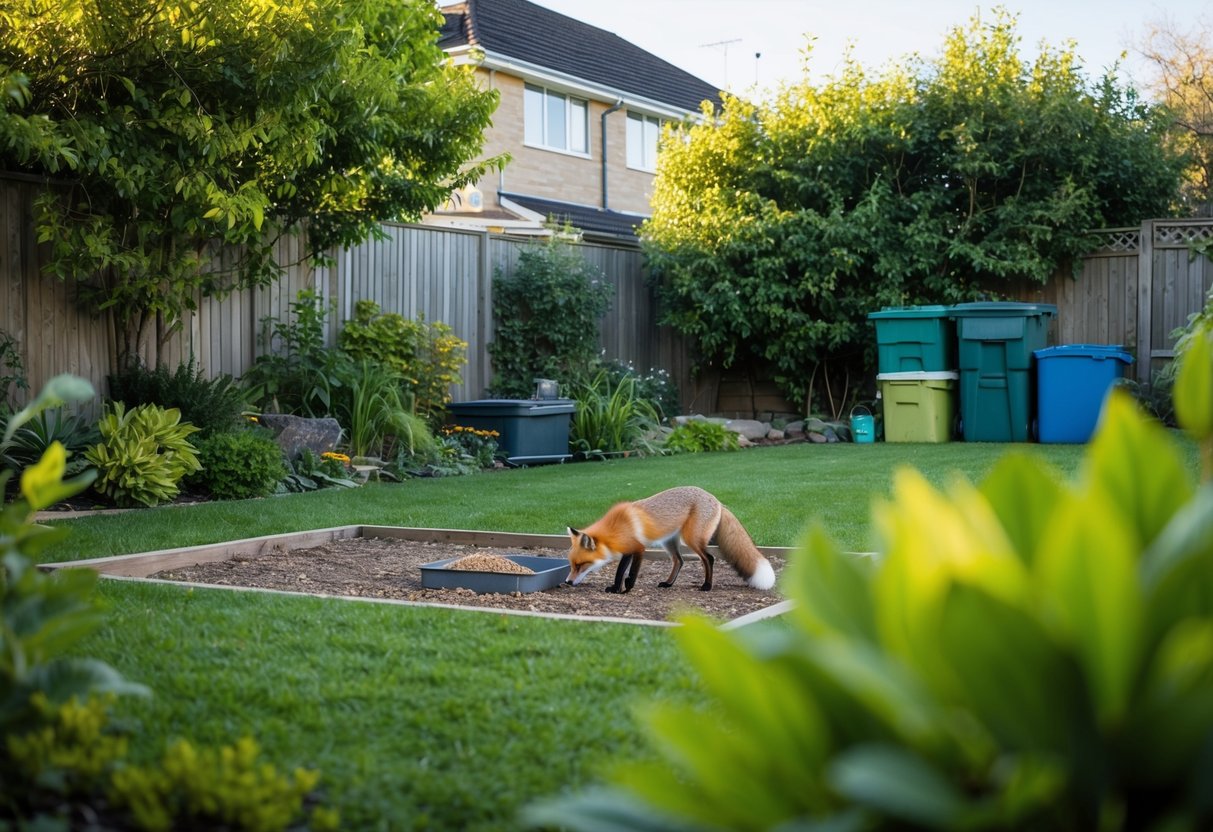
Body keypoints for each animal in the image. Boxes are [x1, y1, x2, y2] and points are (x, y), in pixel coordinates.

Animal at [565, 486, 776, 594]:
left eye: (580, 565)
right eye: (572, 565)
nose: (567, 582)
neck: (616, 528)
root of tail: (717, 500)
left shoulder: (638, 548)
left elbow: (628, 572)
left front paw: (626, 588)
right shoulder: (627, 550)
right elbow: (620, 571)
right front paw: (617, 587)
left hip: (691, 539)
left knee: (709, 558)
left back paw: (706, 586)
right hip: (669, 542)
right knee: (679, 560)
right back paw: (668, 584)